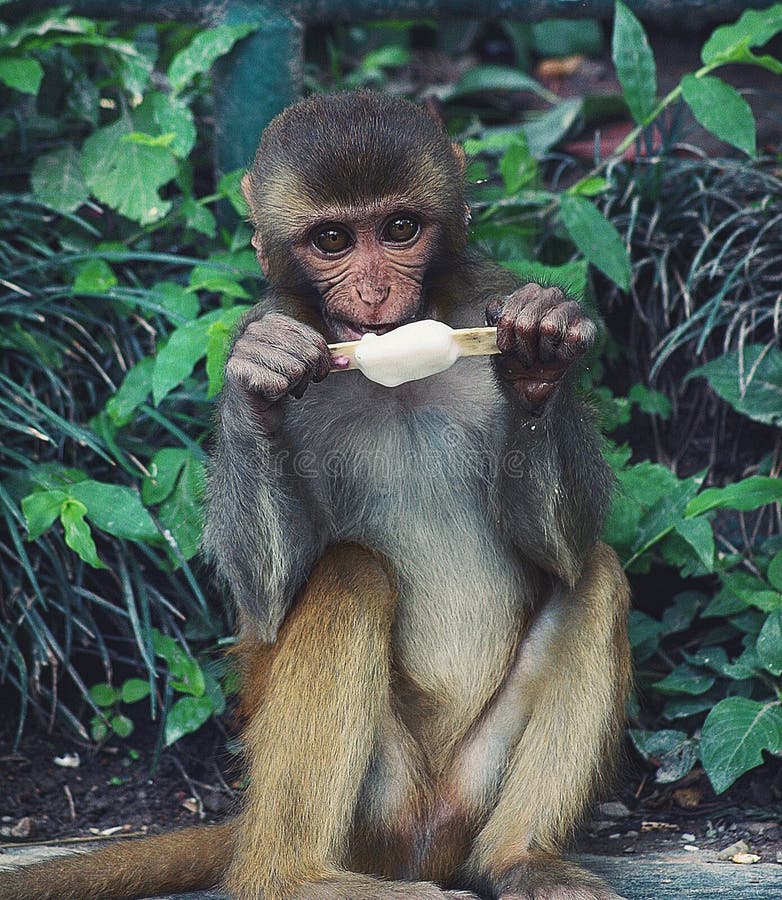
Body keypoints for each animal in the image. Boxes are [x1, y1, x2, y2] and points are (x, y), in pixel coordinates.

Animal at [0, 90, 631, 900]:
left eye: (399, 230)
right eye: (332, 240)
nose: (374, 292)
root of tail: (426, 836)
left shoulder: (486, 298)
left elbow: (564, 554)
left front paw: (540, 350)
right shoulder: (266, 325)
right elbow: (268, 603)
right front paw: (260, 383)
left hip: (468, 792)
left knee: (597, 576)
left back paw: (521, 858)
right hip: (375, 808)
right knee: (349, 574)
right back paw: (290, 875)